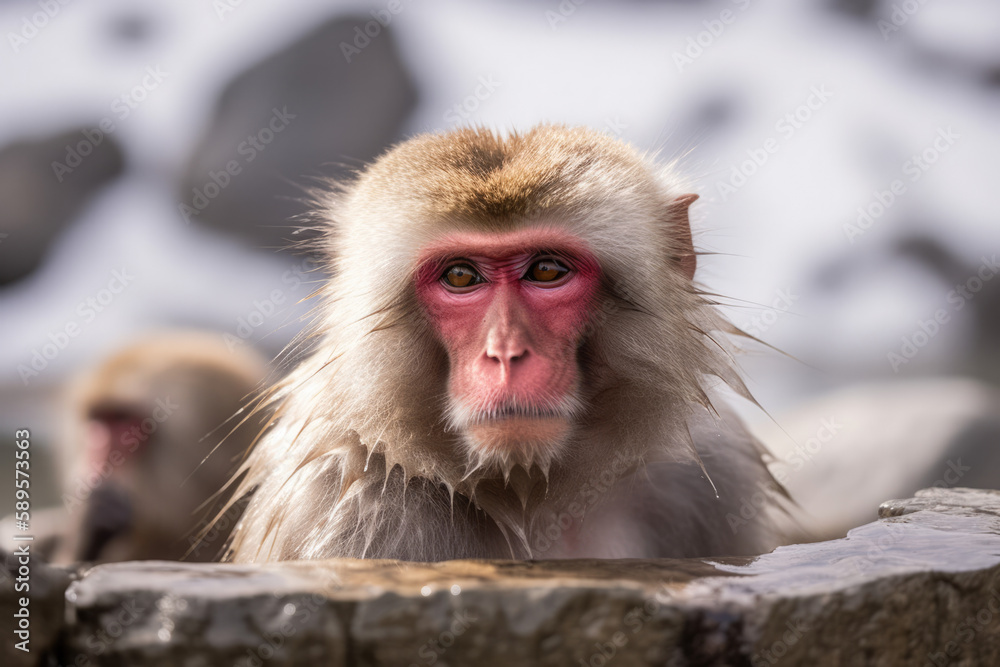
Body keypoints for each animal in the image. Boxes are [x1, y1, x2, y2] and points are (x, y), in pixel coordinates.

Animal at [225, 124, 788, 563]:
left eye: (546, 270)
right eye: (460, 276)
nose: (505, 355)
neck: (532, 496)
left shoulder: (719, 470)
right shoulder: (354, 510)